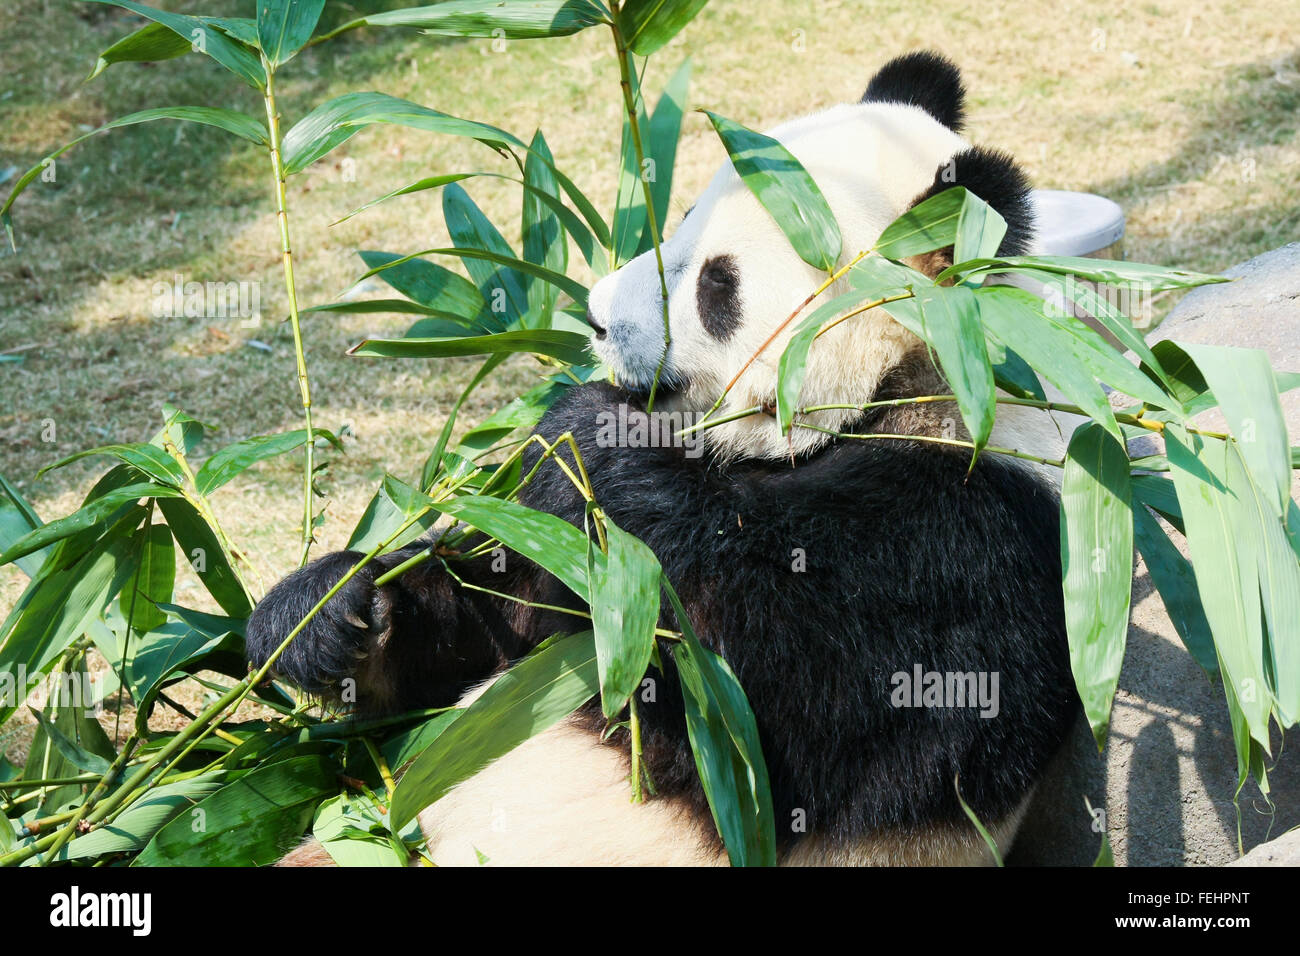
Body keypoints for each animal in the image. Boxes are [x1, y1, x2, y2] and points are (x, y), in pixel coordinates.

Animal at [247, 51, 1081, 866]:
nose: (595, 317)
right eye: (680, 220)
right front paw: (331, 615)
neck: (918, 373)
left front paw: (588, 430)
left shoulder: (958, 532)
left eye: (718, 283)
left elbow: (766, 715)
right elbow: (513, 618)